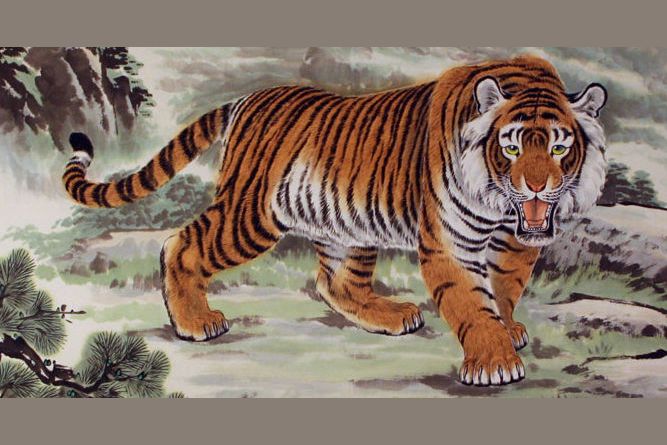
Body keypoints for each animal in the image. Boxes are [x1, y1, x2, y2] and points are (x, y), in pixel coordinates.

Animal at [62, 55, 607, 386]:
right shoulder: (450, 241)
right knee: (180, 243)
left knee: (334, 282)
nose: (535, 187)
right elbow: (472, 301)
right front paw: (494, 362)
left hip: (348, 226)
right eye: (511, 147)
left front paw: (508, 329)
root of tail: (247, 99)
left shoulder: (517, 241)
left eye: (559, 147)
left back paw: (391, 315)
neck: (502, 207)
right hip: (252, 215)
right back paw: (196, 322)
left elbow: (505, 287)